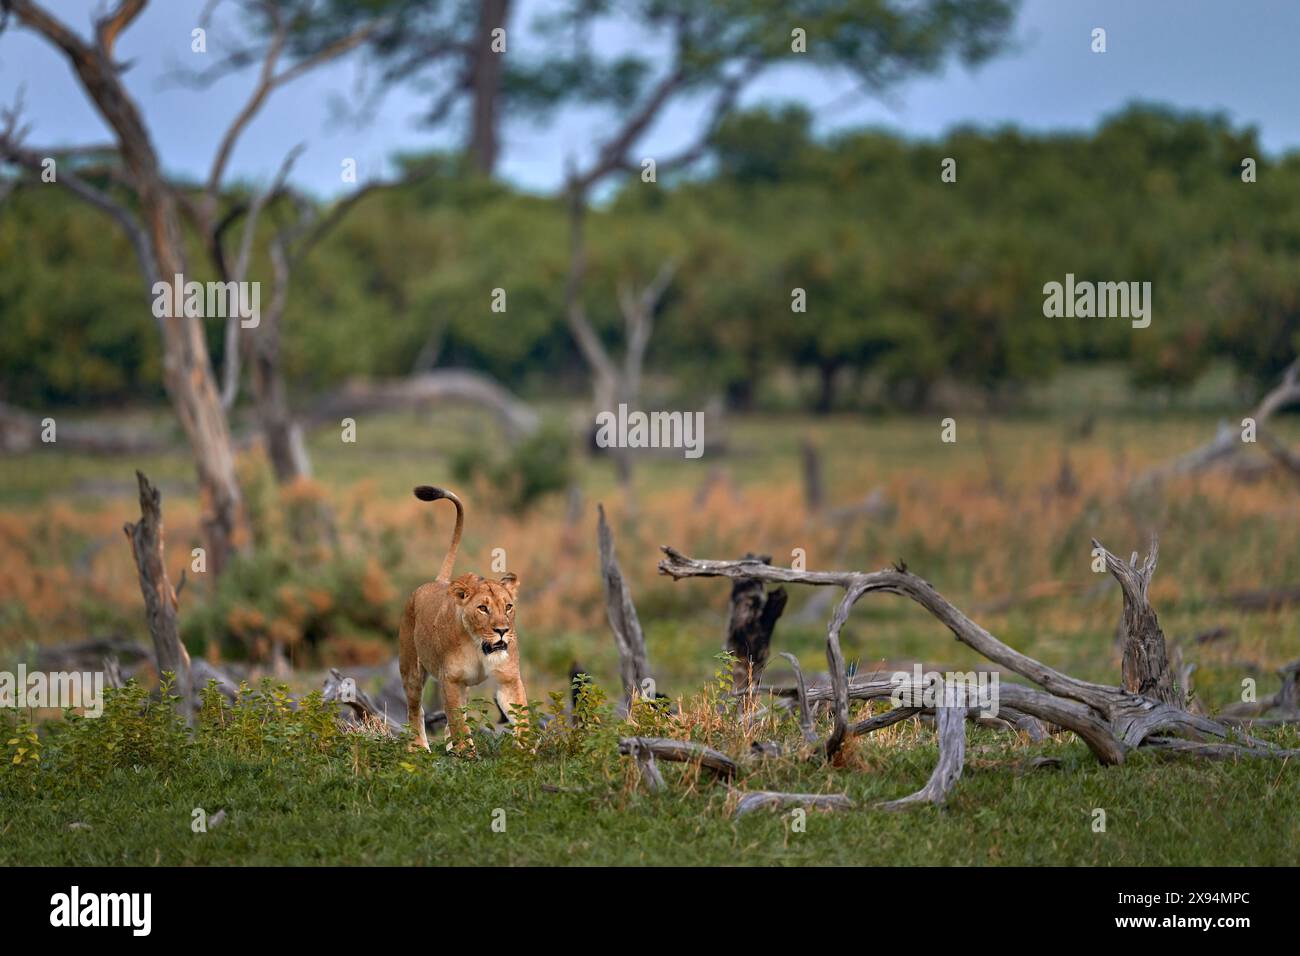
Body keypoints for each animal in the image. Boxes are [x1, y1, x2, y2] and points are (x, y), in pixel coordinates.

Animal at [398, 486, 526, 754]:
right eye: (483, 609)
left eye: (508, 607)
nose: (502, 630)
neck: (479, 646)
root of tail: (436, 582)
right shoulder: (451, 679)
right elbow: (457, 719)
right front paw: (466, 752)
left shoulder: (509, 678)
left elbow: (521, 715)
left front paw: (527, 750)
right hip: (411, 670)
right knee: (415, 709)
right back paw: (419, 748)